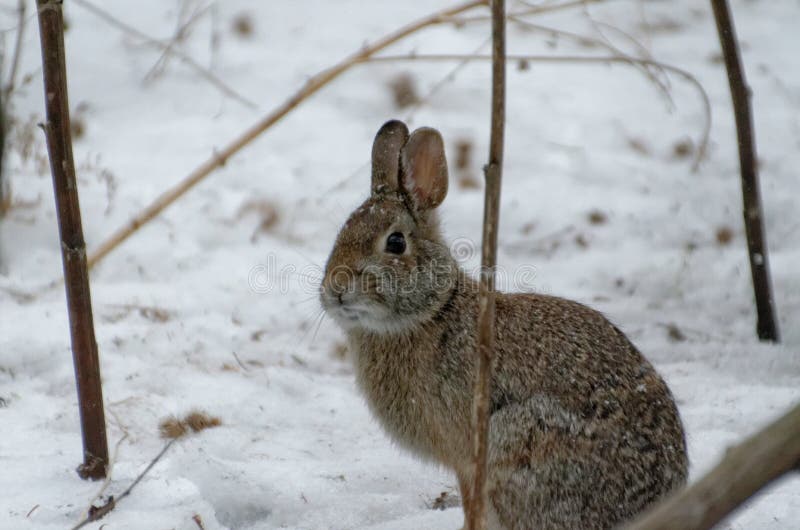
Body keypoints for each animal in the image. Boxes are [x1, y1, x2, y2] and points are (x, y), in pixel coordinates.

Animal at [320, 120, 688, 530]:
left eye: (395, 242)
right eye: (340, 235)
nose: (335, 288)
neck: (433, 310)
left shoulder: (468, 458)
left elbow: (472, 506)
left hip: (517, 442)